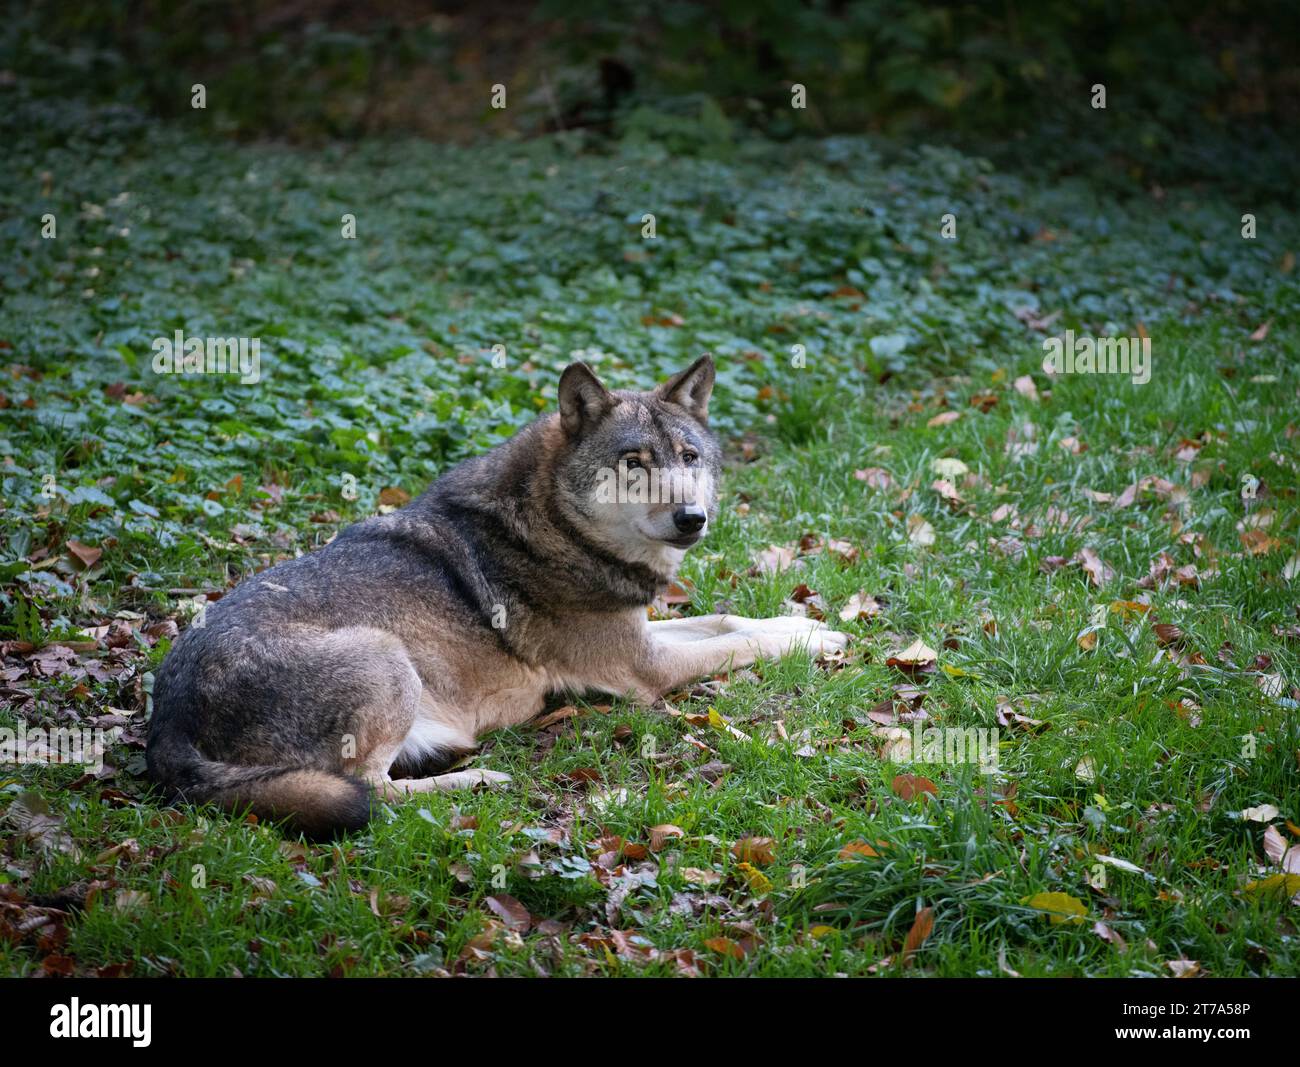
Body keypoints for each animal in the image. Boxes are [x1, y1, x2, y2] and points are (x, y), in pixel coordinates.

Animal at [146, 355, 848, 837]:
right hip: (386, 657)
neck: (555, 526)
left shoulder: (640, 631)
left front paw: (807, 624)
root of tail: (164, 729)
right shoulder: (642, 669)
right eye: (633, 462)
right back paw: (480, 778)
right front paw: (814, 638)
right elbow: (739, 644)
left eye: (689, 456)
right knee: (372, 793)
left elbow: (732, 619)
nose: (692, 518)